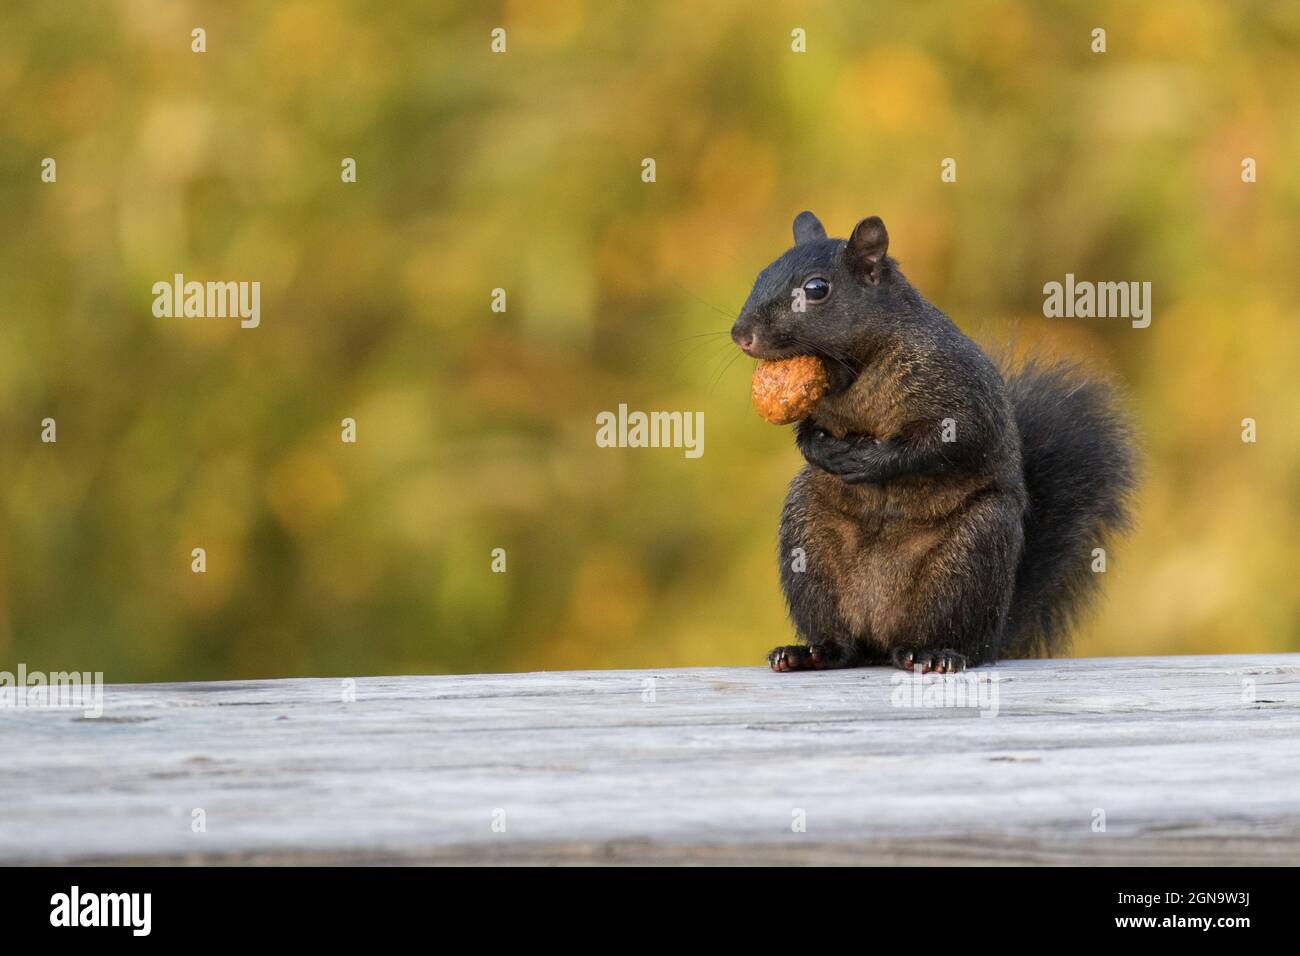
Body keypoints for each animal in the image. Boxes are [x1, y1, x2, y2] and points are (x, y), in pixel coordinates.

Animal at [730, 211, 1138, 673]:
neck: (854, 369)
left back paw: (934, 653)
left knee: (955, 637)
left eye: (817, 288)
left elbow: (944, 443)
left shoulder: (959, 398)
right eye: (761, 273)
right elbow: (806, 434)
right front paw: (824, 450)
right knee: (842, 643)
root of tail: (880, 632)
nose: (741, 334)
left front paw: (872, 461)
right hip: (809, 542)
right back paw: (811, 652)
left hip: (971, 554)